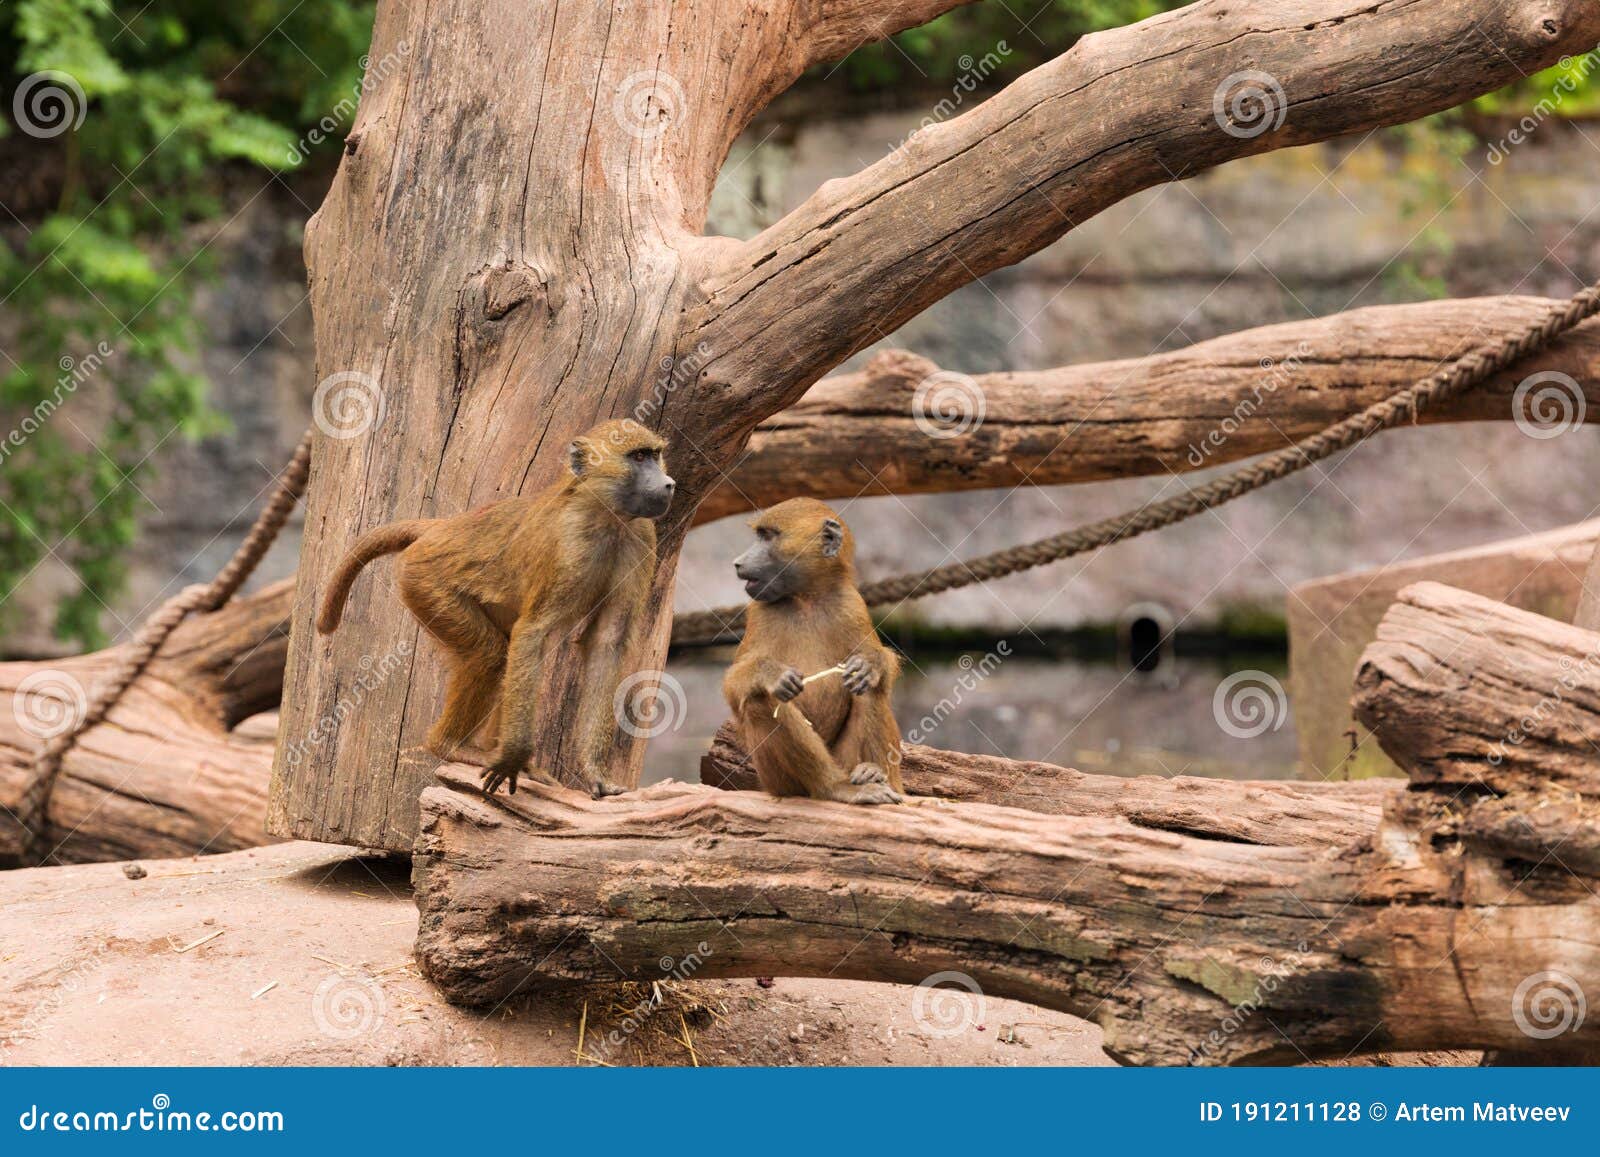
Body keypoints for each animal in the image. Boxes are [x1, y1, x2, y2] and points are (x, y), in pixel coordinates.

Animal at [317, 418, 675, 797]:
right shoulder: (571, 545)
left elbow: (608, 640)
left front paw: (595, 773)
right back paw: (451, 746)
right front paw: (513, 757)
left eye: (655, 454)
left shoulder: (641, 537)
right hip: (426, 582)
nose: (669, 484)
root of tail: (444, 528)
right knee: (490, 654)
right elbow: (533, 632)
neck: (605, 516)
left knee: (506, 653)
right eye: (638, 457)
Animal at [722, 498, 904, 806]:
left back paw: (874, 773)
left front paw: (871, 663)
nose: (738, 562)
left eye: (768, 536)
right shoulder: (758, 612)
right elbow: (735, 687)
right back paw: (835, 788)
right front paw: (772, 674)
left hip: (843, 759)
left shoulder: (851, 605)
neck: (806, 597)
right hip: (777, 781)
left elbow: (874, 668)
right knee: (762, 701)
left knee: (870, 687)